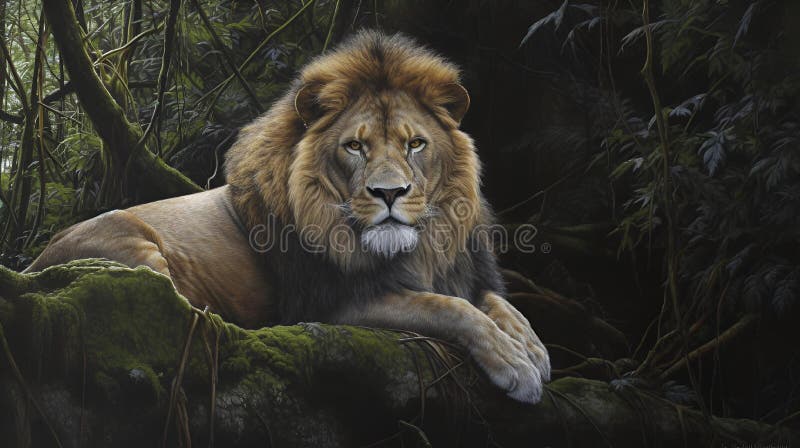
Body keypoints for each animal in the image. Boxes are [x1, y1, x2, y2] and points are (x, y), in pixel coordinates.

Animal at [27, 31, 550, 403]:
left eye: (415, 144)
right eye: (355, 146)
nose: (389, 193)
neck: (423, 248)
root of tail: (32, 264)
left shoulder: (465, 270)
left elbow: (498, 302)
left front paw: (534, 350)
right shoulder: (332, 305)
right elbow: (449, 308)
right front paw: (515, 365)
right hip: (134, 246)